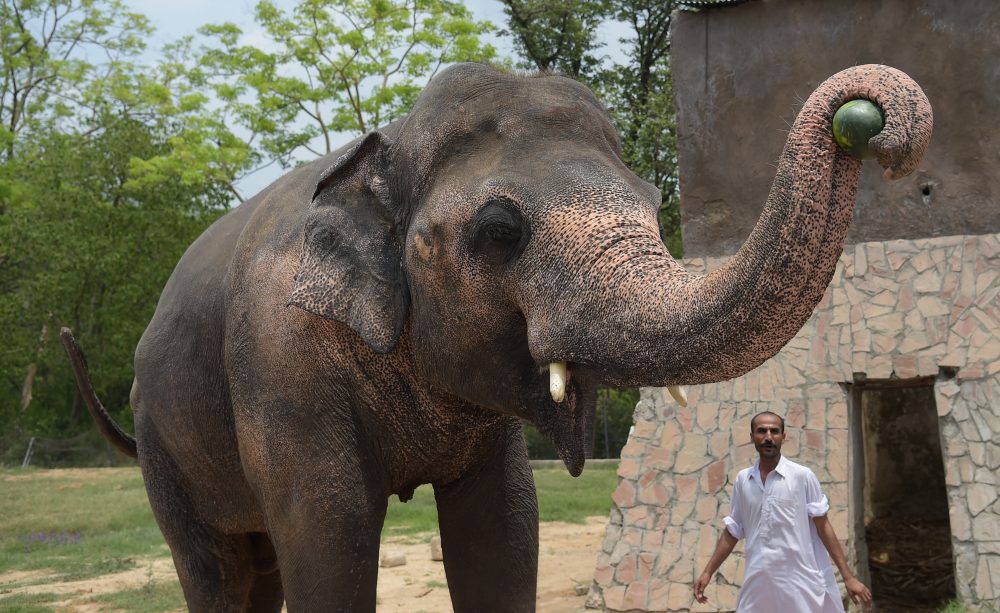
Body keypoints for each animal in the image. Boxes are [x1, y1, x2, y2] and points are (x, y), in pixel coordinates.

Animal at [62, 62, 931, 612]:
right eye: (500, 231)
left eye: (655, 203)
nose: (868, 124)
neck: (383, 145)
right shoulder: (281, 365)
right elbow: (332, 540)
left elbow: (505, 532)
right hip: (163, 436)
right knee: (217, 569)